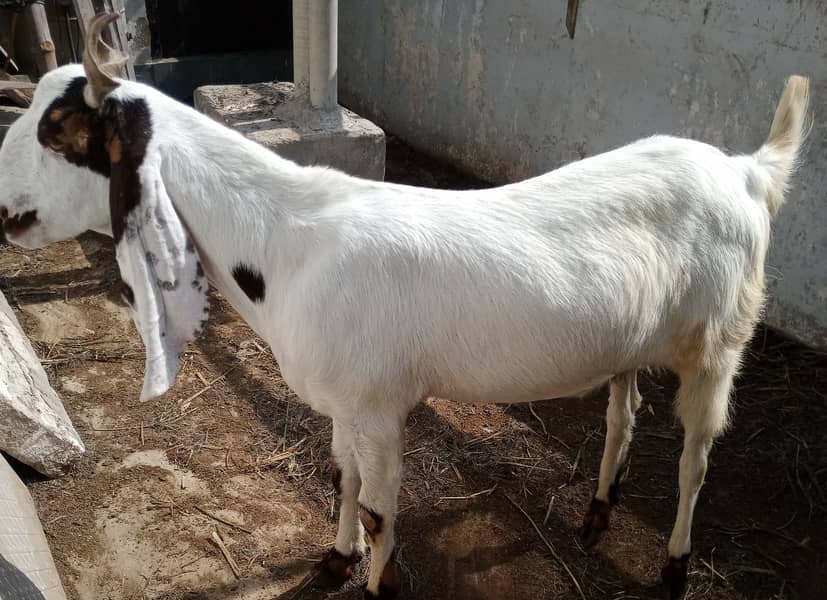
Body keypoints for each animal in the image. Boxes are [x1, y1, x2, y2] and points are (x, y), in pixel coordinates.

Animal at [0, 13, 810, 600]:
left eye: (58, 133)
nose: (8, 213)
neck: (289, 241)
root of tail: (746, 171)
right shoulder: (347, 404)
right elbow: (343, 477)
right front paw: (335, 561)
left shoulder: (382, 407)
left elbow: (379, 504)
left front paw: (378, 581)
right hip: (632, 340)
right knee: (625, 413)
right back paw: (599, 509)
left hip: (720, 343)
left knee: (696, 457)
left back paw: (674, 566)